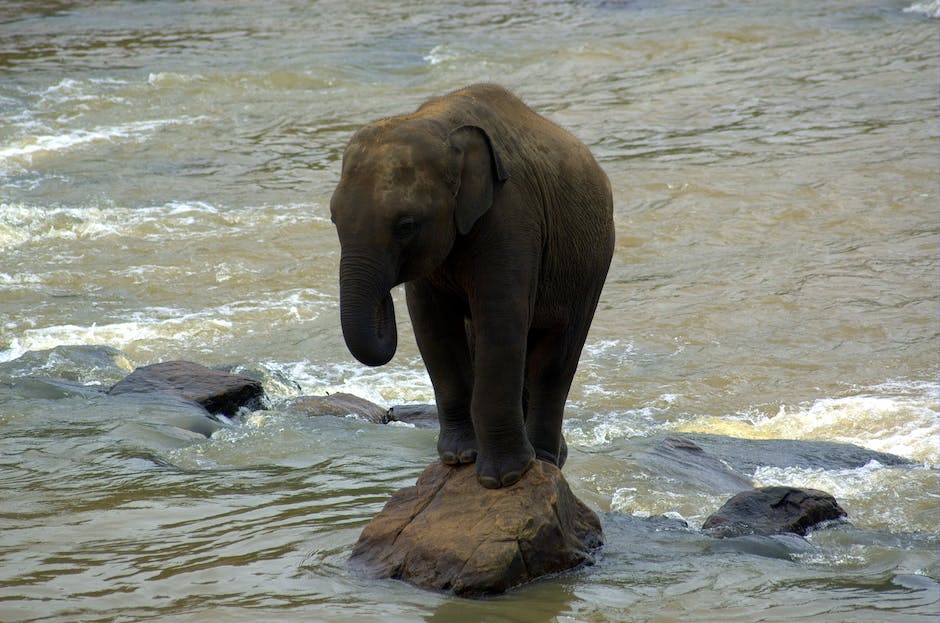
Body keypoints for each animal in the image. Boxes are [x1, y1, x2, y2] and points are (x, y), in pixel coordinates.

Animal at [330, 84, 616, 492]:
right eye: (333, 218)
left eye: (406, 225)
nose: (384, 300)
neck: (439, 123)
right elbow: (433, 328)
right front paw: (458, 457)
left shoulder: (511, 215)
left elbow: (500, 318)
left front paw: (503, 478)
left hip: (590, 265)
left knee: (555, 358)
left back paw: (546, 461)